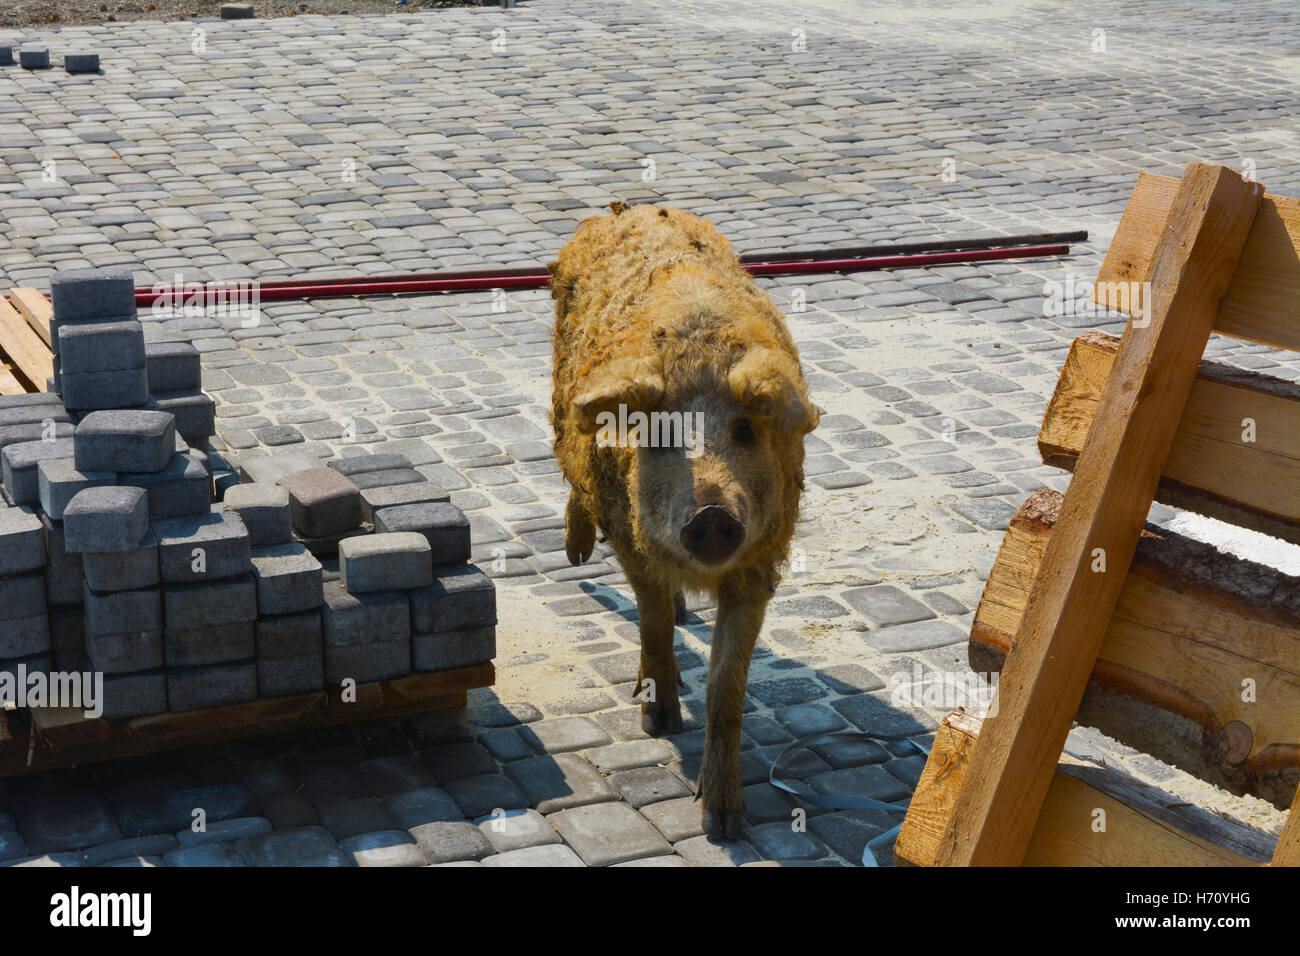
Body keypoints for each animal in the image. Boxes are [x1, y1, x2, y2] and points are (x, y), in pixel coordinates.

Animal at [550, 202, 820, 836]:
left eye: (745, 431)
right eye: (660, 435)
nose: (712, 512)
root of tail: (629, 207)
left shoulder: (758, 566)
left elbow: (727, 686)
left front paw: (723, 821)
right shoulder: (633, 545)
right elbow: (650, 625)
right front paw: (659, 724)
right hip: (565, 409)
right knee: (570, 466)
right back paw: (576, 553)